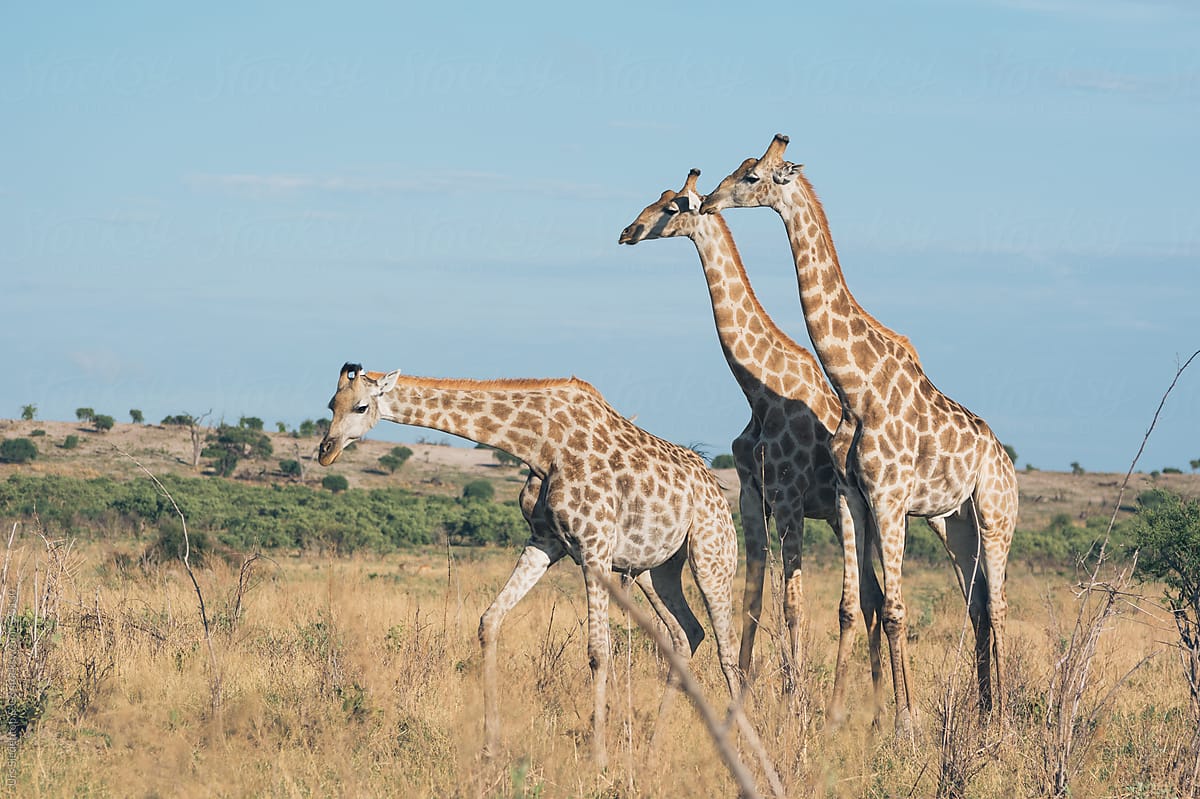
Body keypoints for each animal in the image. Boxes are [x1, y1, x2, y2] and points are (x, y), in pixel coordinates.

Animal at [318, 363, 742, 767]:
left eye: (361, 406)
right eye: (331, 404)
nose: (325, 450)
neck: (542, 446)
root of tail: (715, 485)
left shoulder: (595, 548)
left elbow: (598, 650)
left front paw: (599, 757)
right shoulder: (543, 542)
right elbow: (489, 621)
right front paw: (490, 747)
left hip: (711, 556)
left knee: (728, 648)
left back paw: (737, 747)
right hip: (655, 570)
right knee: (687, 634)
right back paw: (654, 749)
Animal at [702, 135, 1018, 734]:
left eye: (752, 176)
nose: (707, 201)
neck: (856, 386)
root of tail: (1006, 461)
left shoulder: (890, 499)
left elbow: (893, 609)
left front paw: (905, 722)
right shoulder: (856, 497)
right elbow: (858, 604)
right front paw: (843, 717)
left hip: (995, 514)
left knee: (997, 604)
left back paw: (1004, 718)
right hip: (953, 522)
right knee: (976, 603)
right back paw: (986, 710)